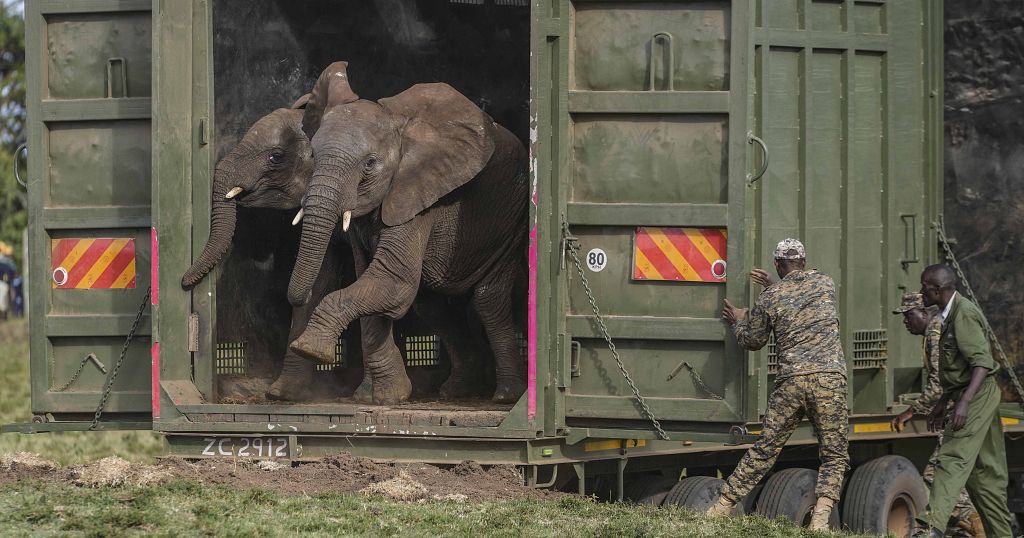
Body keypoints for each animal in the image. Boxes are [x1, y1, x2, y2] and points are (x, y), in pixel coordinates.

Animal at [286, 62, 528, 405]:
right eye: (311, 157)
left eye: (370, 164)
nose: (302, 295)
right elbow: (370, 281)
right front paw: (383, 397)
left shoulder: (419, 196)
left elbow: (393, 280)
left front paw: (310, 349)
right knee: (432, 306)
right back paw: (457, 392)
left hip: (512, 219)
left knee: (487, 300)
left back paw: (505, 396)